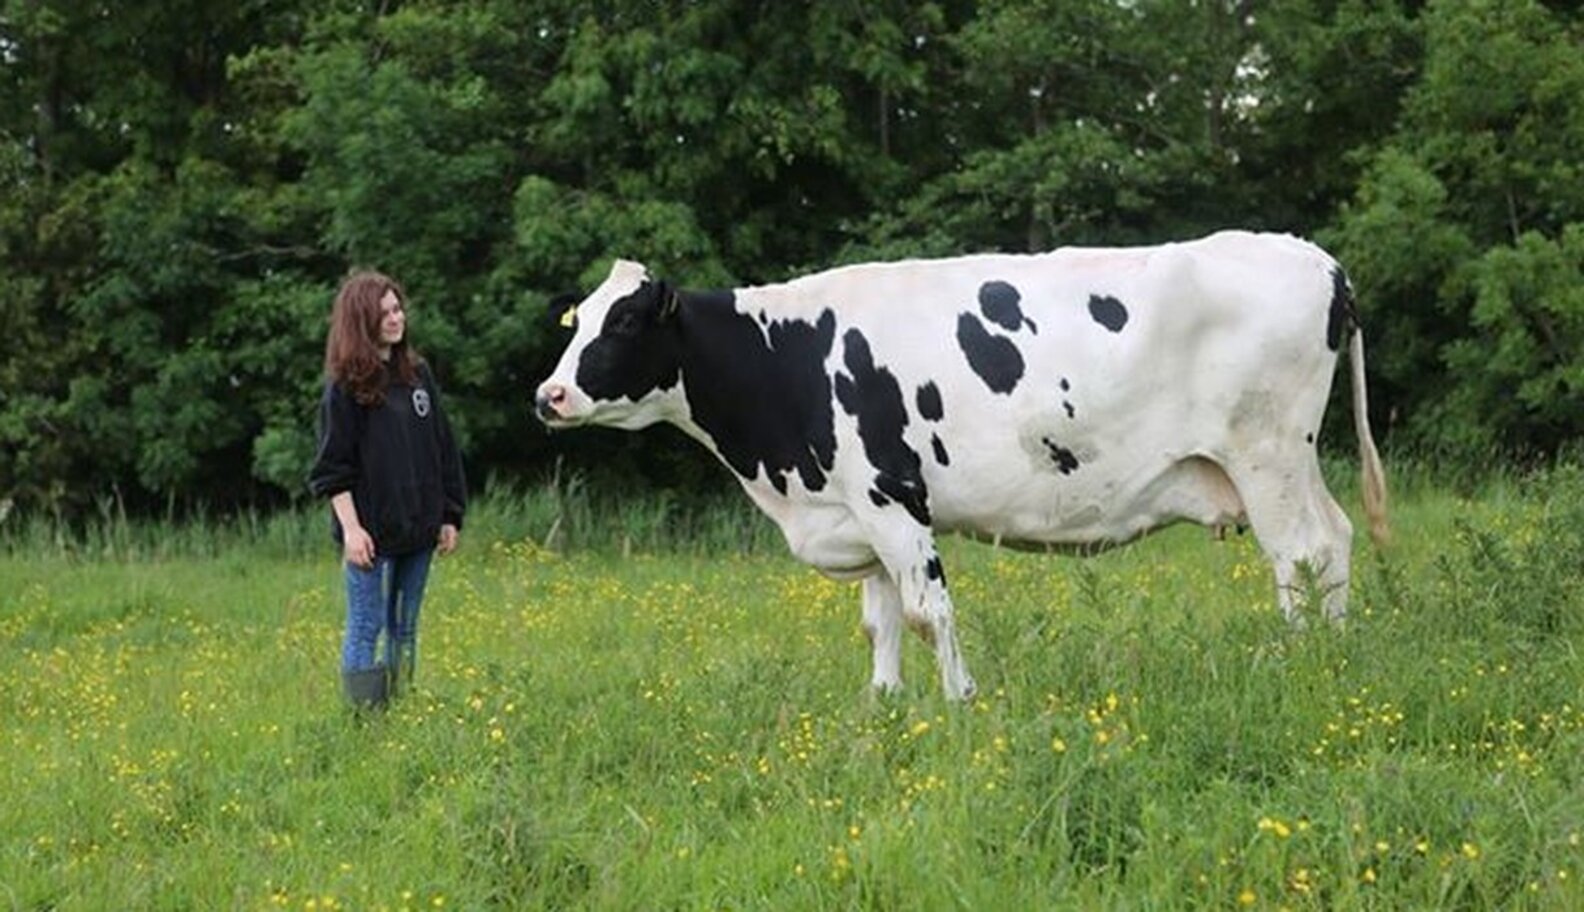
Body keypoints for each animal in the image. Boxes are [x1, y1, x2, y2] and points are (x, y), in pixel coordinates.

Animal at [535, 231, 1389, 701]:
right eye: (578, 319)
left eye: (626, 322)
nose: (549, 394)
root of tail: (1317, 259)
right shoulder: (858, 511)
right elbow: (879, 620)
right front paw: (881, 709)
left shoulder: (891, 495)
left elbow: (926, 612)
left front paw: (959, 703)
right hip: (1290, 457)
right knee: (1336, 542)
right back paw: (1339, 653)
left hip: (1264, 451)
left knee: (1299, 555)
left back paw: (1298, 662)